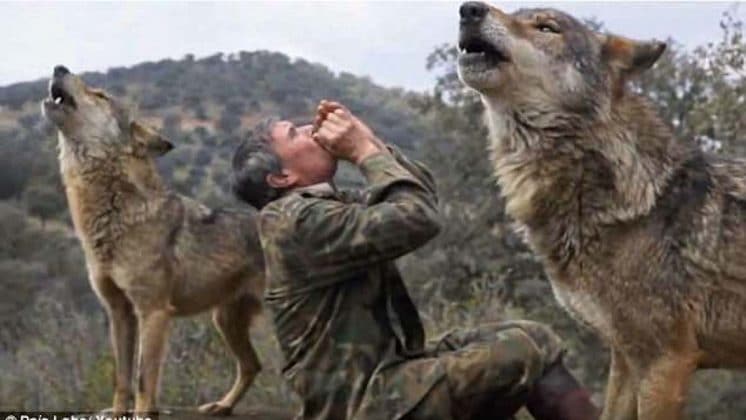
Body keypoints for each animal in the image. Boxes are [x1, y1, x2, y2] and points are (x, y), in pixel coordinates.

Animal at [42, 66, 266, 416]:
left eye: (100, 95)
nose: (58, 68)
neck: (116, 215)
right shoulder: (119, 312)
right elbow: (122, 378)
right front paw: (117, 412)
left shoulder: (154, 312)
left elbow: (144, 380)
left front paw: (142, 411)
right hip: (224, 321)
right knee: (252, 366)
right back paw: (222, 405)